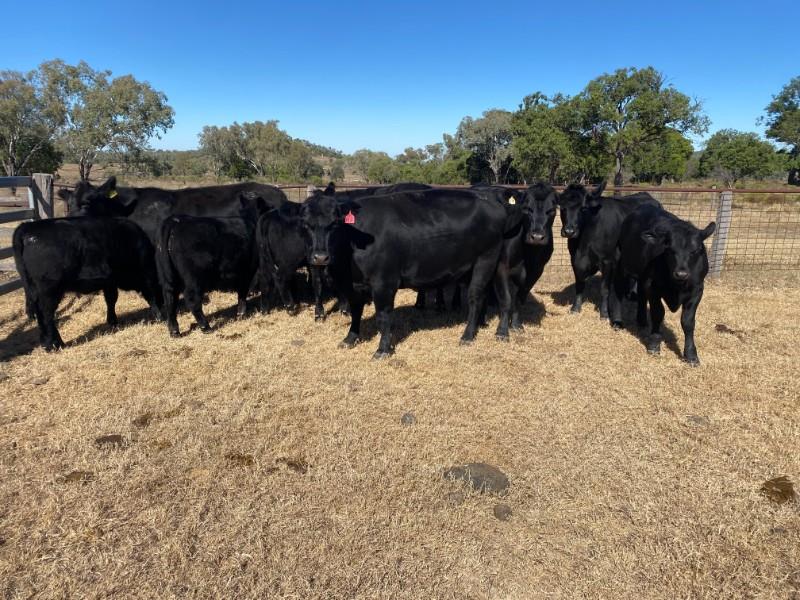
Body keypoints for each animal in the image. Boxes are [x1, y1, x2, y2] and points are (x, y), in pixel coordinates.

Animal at [13, 217, 161, 351]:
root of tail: (27, 227)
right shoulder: (146, 274)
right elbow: (152, 295)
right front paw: (159, 315)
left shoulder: (109, 280)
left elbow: (111, 299)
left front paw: (112, 321)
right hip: (49, 290)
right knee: (46, 315)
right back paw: (55, 344)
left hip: (33, 289)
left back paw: (46, 343)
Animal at [300, 188, 521, 358]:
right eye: (305, 224)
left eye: (335, 224)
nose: (320, 257)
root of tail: (491, 197)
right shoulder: (354, 285)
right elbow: (356, 311)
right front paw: (350, 338)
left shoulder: (384, 282)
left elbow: (383, 315)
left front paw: (383, 349)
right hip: (486, 265)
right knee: (494, 297)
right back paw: (491, 329)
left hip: (487, 260)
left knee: (478, 297)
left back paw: (470, 335)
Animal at [558, 181, 661, 318]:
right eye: (562, 208)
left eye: (583, 208)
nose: (569, 231)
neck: (584, 244)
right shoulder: (575, 259)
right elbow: (579, 285)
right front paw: (575, 308)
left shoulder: (608, 261)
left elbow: (604, 289)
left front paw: (605, 313)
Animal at [608, 204, 716, 365]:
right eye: (669, 249)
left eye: (696, 250)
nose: (681, 274)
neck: (677, 286)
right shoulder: (653, 288)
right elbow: (658, 314)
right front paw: (654, 344)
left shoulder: (697, 290)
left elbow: (688, 322)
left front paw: (691, 355)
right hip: (621, 262)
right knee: (618, 289)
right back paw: (617, 321)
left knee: (641, 294)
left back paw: (642, 320)